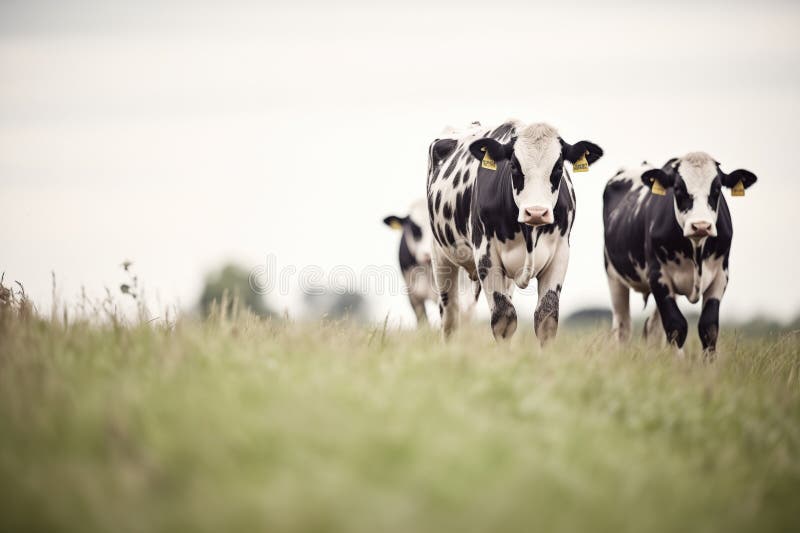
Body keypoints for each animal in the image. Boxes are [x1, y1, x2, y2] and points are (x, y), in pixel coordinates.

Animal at [426, 119, 603, 344]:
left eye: (558, 167)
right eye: (513, 166)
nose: (536, 212)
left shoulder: (561, 254)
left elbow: (547, 317)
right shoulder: (486, 254)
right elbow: (503, 318)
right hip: (440, 255)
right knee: (450, 316)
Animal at [602, 153, 757, 357]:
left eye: (717, 189)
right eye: (677, 188)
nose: (701, 225)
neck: (696, 250)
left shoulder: (721, 276)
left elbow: (708, 327)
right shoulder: (657, 276)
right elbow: (677, 326)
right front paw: (676, 361)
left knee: (653, 328)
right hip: (614, 276)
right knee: (622, 327)